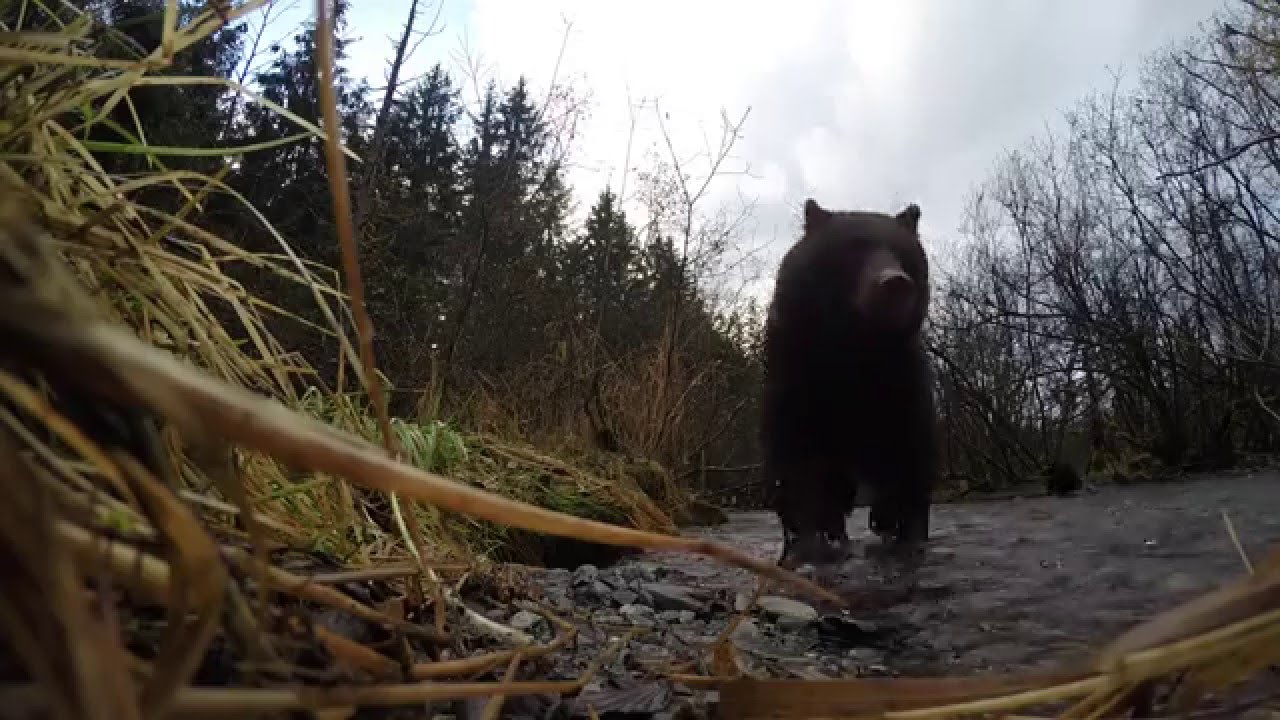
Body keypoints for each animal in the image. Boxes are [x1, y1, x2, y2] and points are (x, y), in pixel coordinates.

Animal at [760, 197, 940, 570]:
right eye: (853, 247)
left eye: (904, 253)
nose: (895, 283)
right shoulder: (798, 379)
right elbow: (797, 467)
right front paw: (806, 548)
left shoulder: (901, 383)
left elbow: (910, 456)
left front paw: (905, 535)